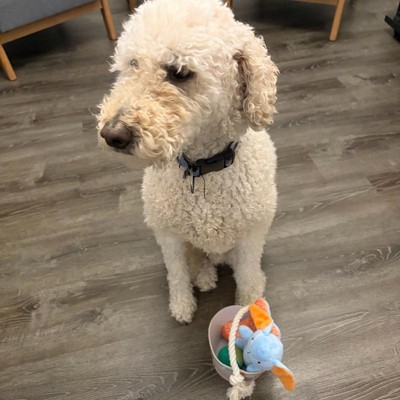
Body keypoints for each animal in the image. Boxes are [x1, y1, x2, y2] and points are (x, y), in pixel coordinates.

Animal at [97, 0, 278, 323]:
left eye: (180, 72)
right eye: (133, 64)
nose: (112, 134)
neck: (203, 168)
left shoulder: (251, 236)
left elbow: (246, 274)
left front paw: (249, 304)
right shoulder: (169, 237)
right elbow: (177, 274)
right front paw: (182, 305)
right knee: (197, 263)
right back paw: (204, 277)